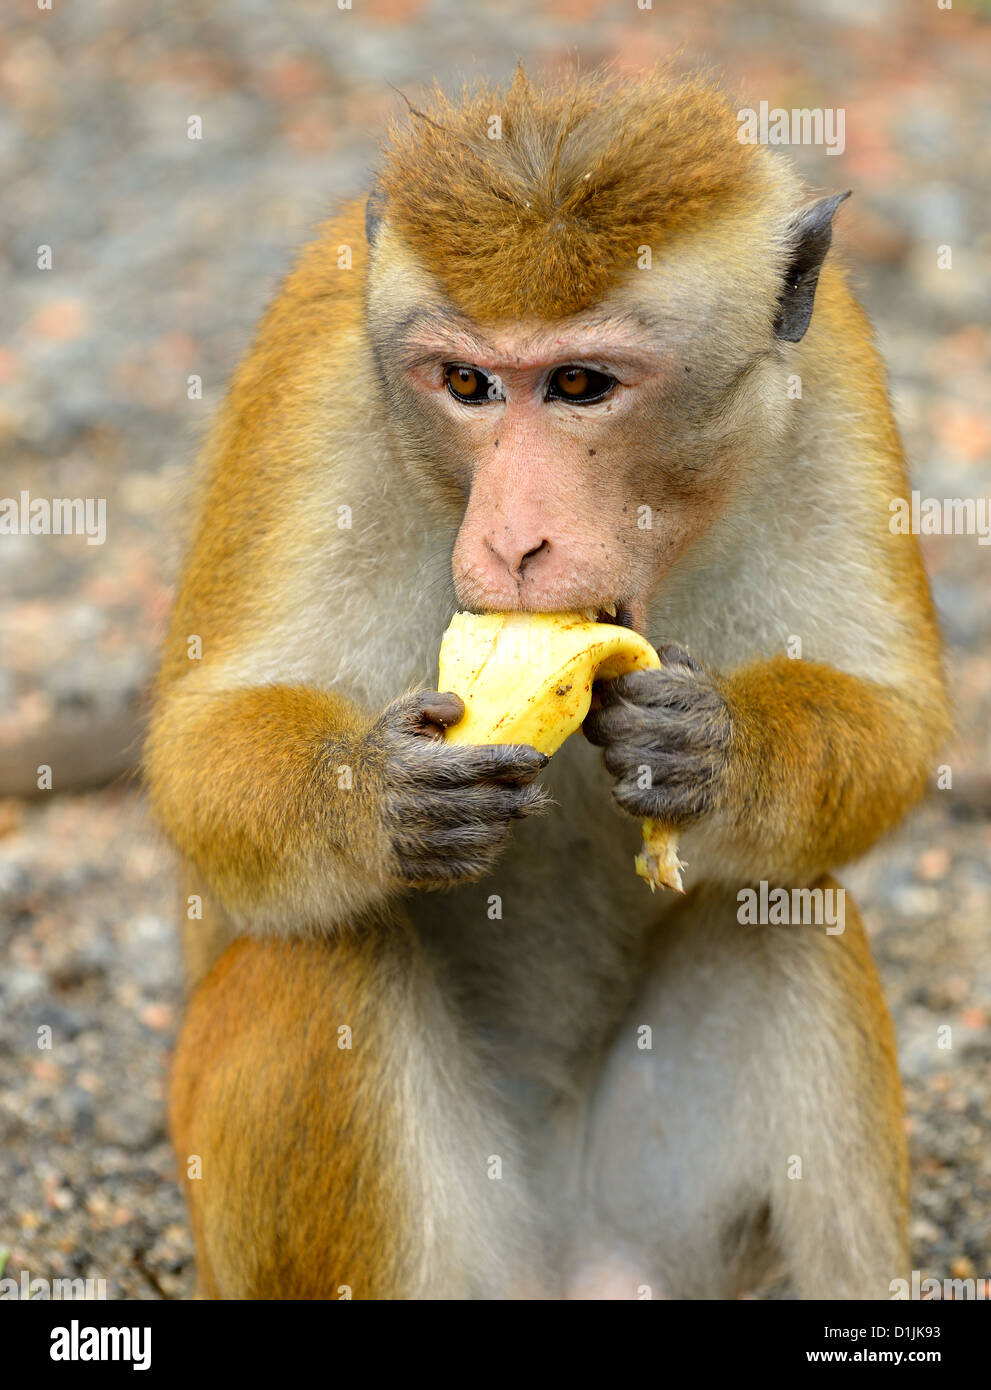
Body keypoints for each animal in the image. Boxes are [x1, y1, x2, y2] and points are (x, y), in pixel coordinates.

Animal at [146, 66, 950, 1300]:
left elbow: (894, 718)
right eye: (466, 383)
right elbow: (199, 748)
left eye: (579, 384)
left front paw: (712, 752)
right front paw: (380, 796)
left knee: (784, 918)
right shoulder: (315, 386)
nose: (514, 538)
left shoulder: (832, 378)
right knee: (315, 969)